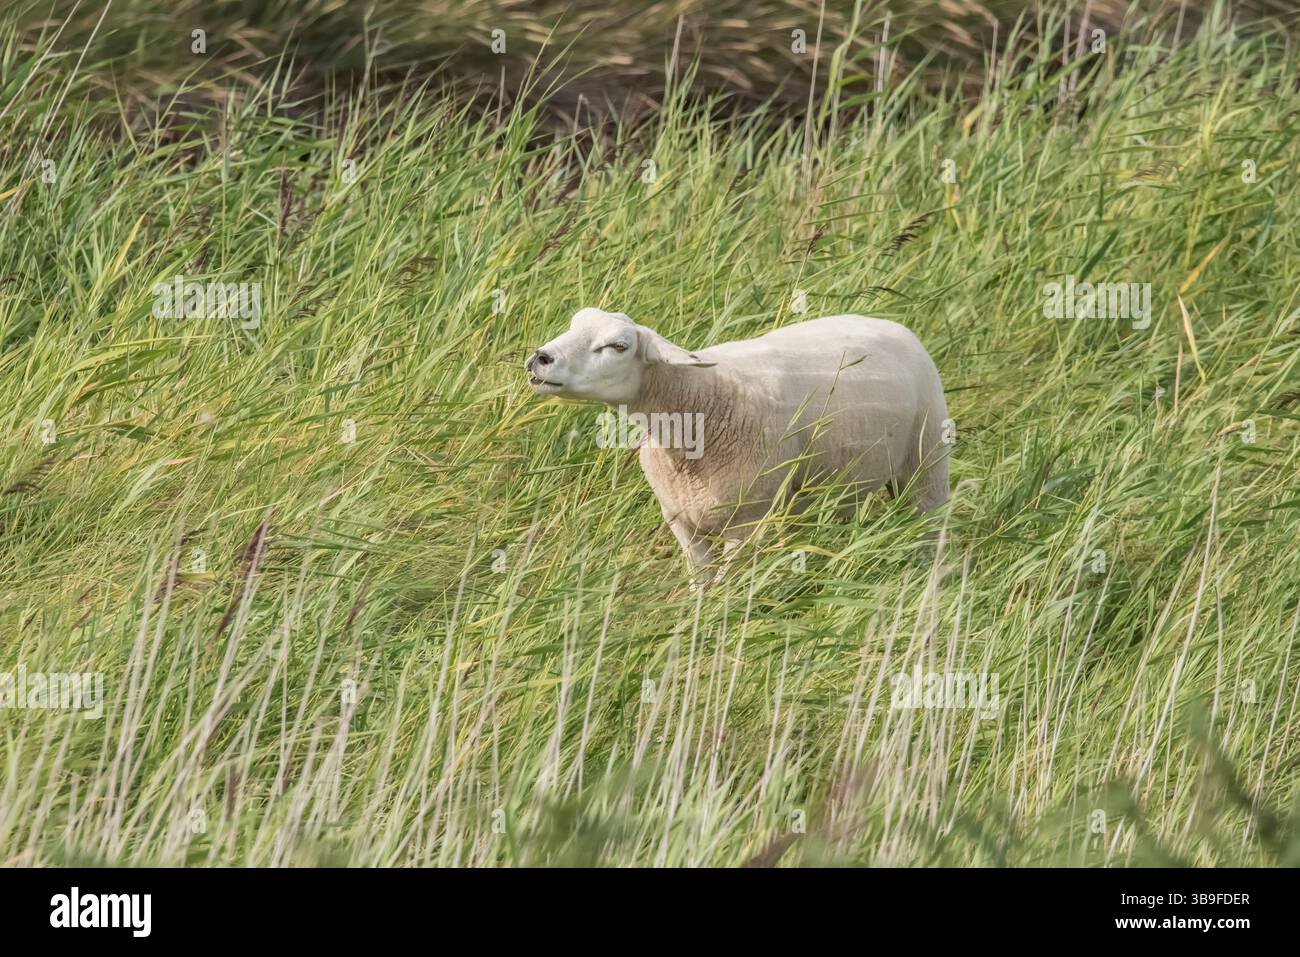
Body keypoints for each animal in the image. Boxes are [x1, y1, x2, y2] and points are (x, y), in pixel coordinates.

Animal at [525, 307, 951, 574]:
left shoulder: (748, 522)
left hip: (927, 462)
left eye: (618, 346)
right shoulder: (680, 519)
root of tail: (891, 324)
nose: (540, 358)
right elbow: (702, 579)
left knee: (928, 527)